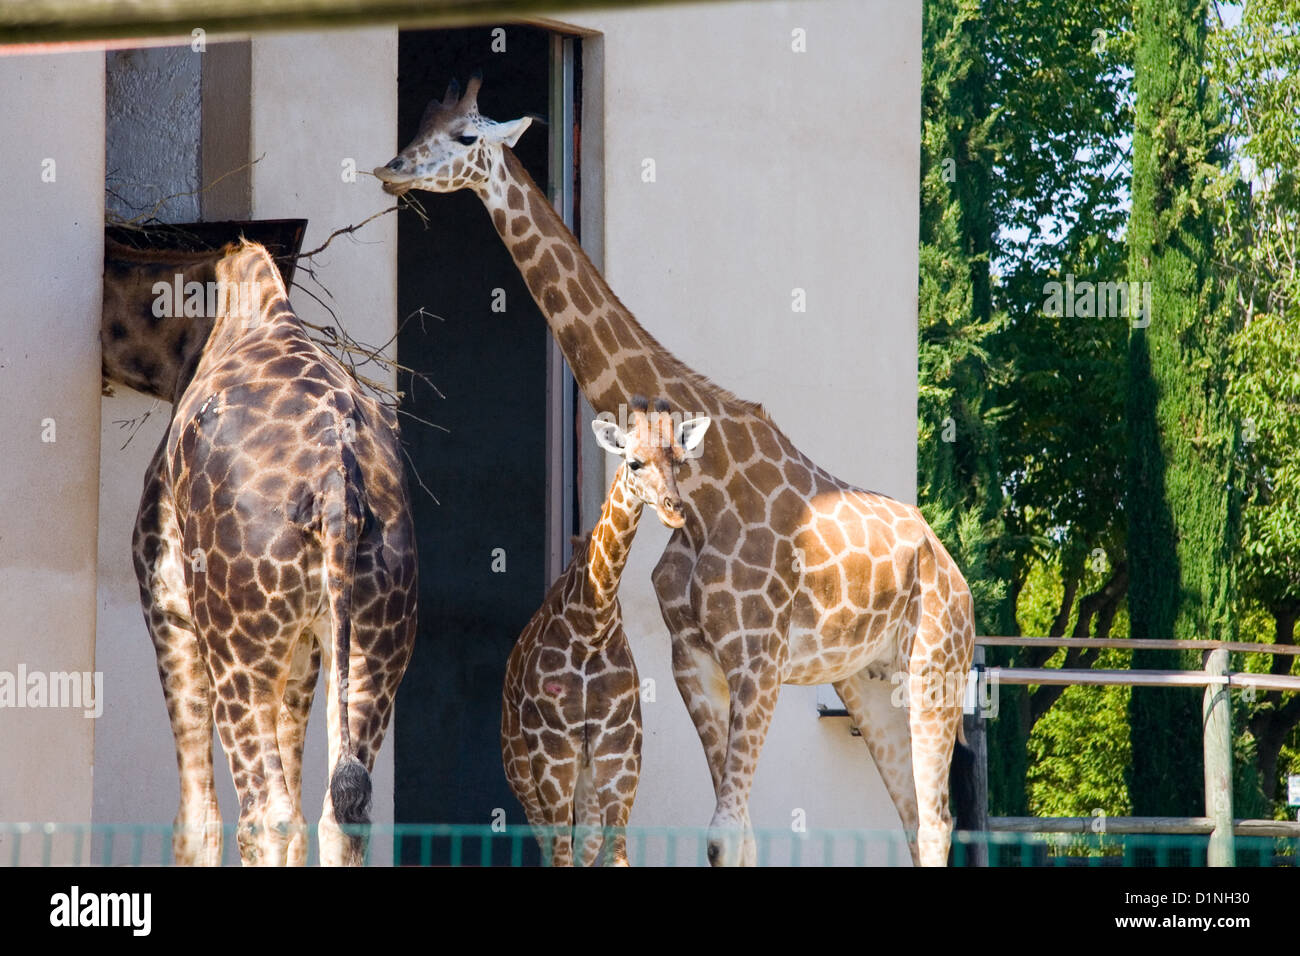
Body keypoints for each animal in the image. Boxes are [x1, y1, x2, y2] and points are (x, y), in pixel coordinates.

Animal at [101, 237, 418, 865]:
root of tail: (338, 485)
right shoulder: (303, 646)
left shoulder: (167, 609)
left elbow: (196, 818)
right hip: (374, 644)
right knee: (337, 811)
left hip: (235, 647)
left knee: (265, 813)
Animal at [502, 398, 710, 867]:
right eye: (633, 462)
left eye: (679, 459)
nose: (674, 510)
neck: (589, 625)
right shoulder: (553, 753)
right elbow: (559, 855)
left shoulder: (618, 754)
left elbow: (615, 855)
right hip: (521, 770)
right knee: (550, 847)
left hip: (586, 776)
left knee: (586, 844)